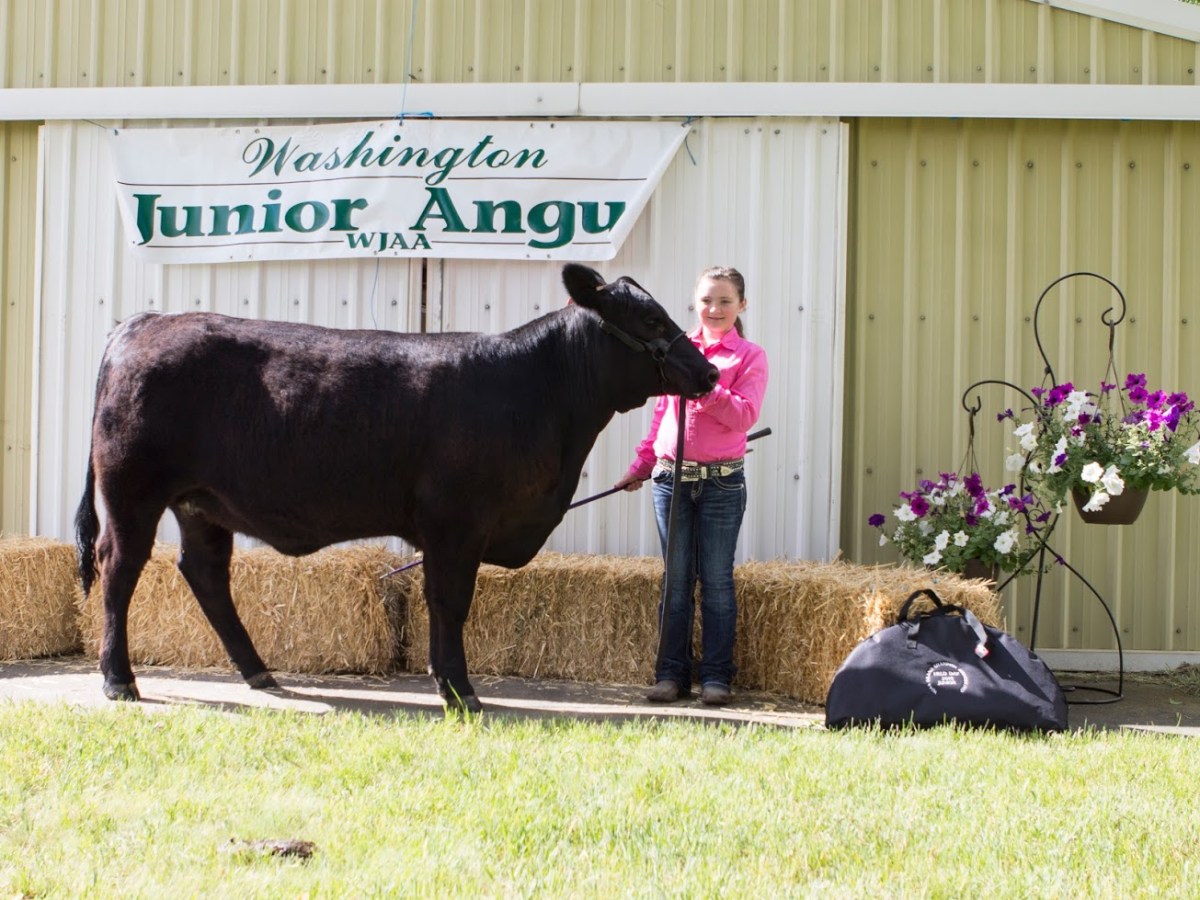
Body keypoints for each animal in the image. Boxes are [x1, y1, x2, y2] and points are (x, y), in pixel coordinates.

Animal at [74, 263, 718, 713]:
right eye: (651, 321)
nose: (708, 372)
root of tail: (146, 322)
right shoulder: (456, 522)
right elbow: (450, 601)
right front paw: (460, 691)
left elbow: (443, 601)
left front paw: (449, 684)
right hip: (132, 490)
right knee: (119, 567)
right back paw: (118, 680)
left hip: (201, 504)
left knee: (205, 574)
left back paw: (259, 671)